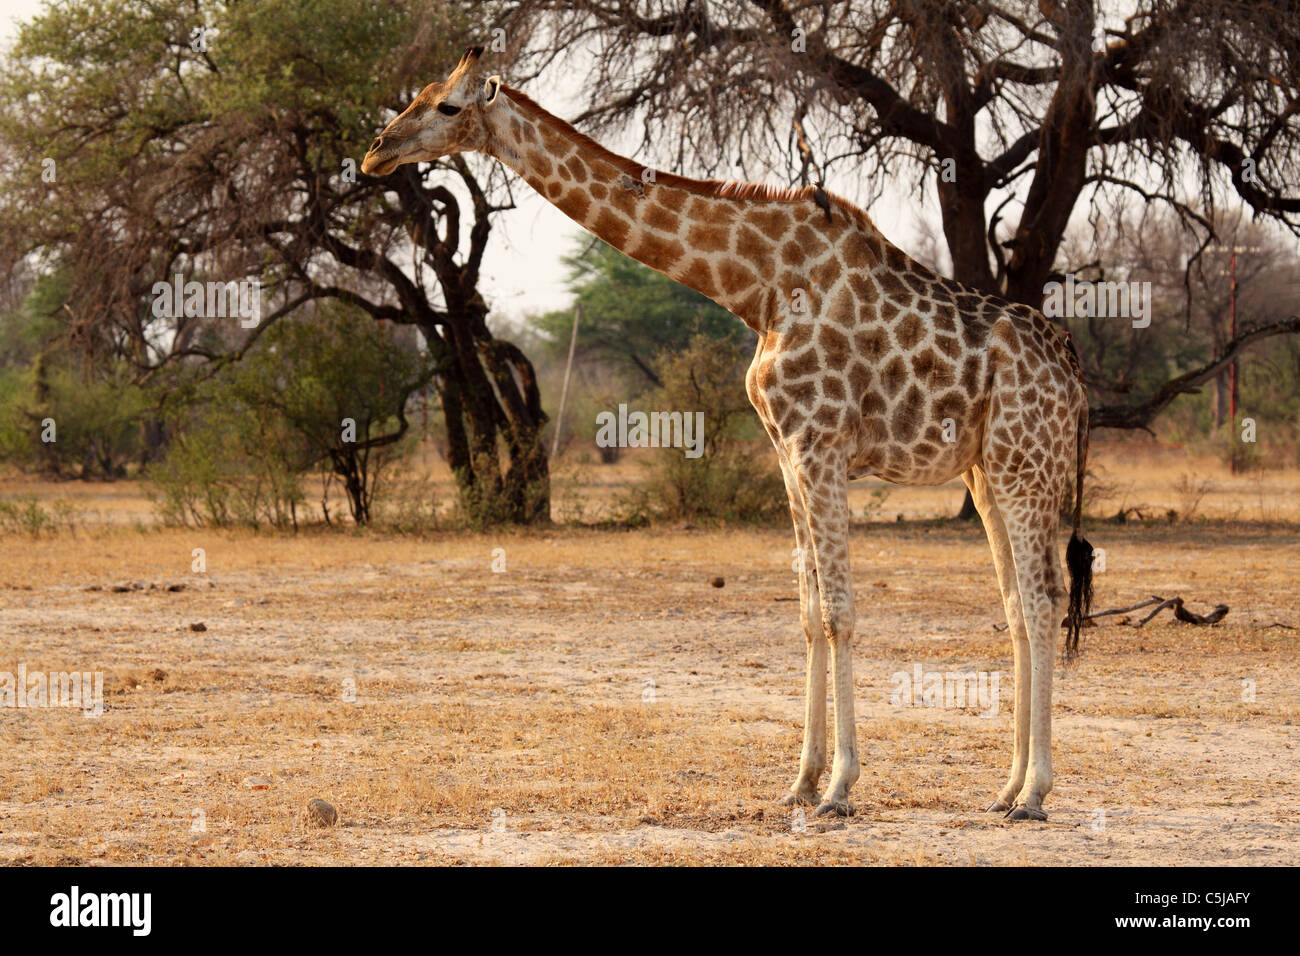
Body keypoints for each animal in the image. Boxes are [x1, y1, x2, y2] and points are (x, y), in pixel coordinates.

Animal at [362, 46, 1095, 821]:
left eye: (446, 105)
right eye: (419, 94)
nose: (376, 151)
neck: (758, 287)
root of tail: (1073, 373)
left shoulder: (819, 444)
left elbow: (839, 611)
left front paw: (840, 787)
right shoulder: (787, 451)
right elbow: (807, 611)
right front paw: (801, 781)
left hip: (1025, 464)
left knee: (1043, 598)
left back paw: (1035, 792)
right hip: (986, 472)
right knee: (1016, 605)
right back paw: (1005, 787)